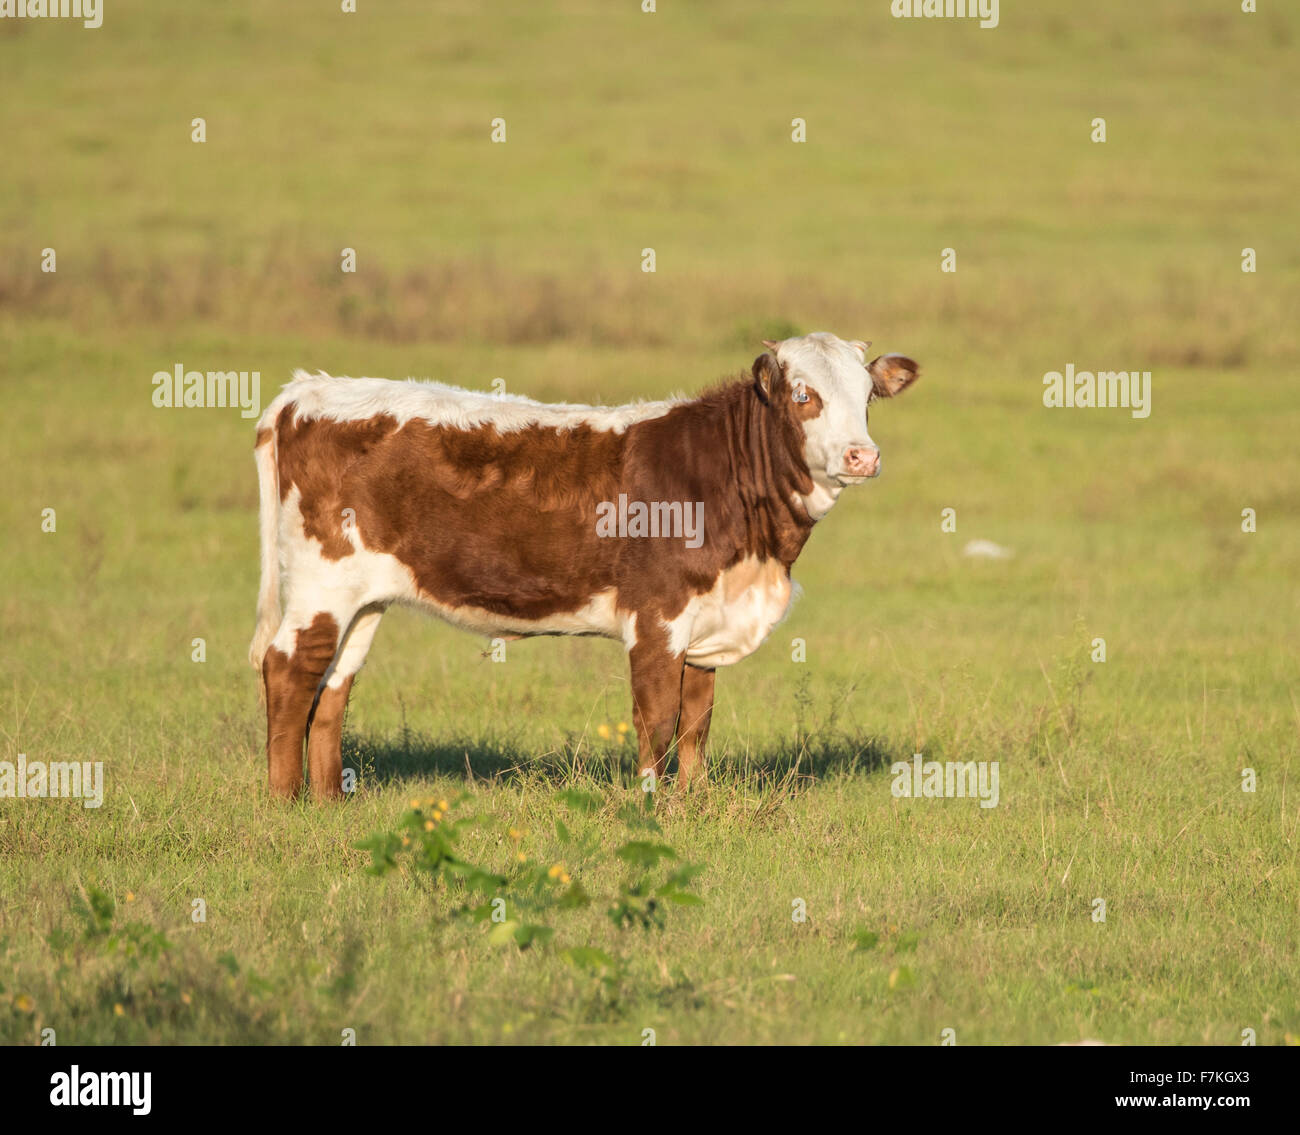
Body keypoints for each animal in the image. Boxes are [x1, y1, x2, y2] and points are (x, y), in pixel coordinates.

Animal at [248, 331, 920, 799]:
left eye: (867, 397)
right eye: (804, 395)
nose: (862, 456)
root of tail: (308, 390)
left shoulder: (709, 620)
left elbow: (697, 721)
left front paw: (696, 802)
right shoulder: (656, 618)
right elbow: (657, 718)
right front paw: (654, 807)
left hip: (364, 597)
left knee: (335, 684)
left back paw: (331, 802)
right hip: (321, 584)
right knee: (289, 668)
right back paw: (286, 804)